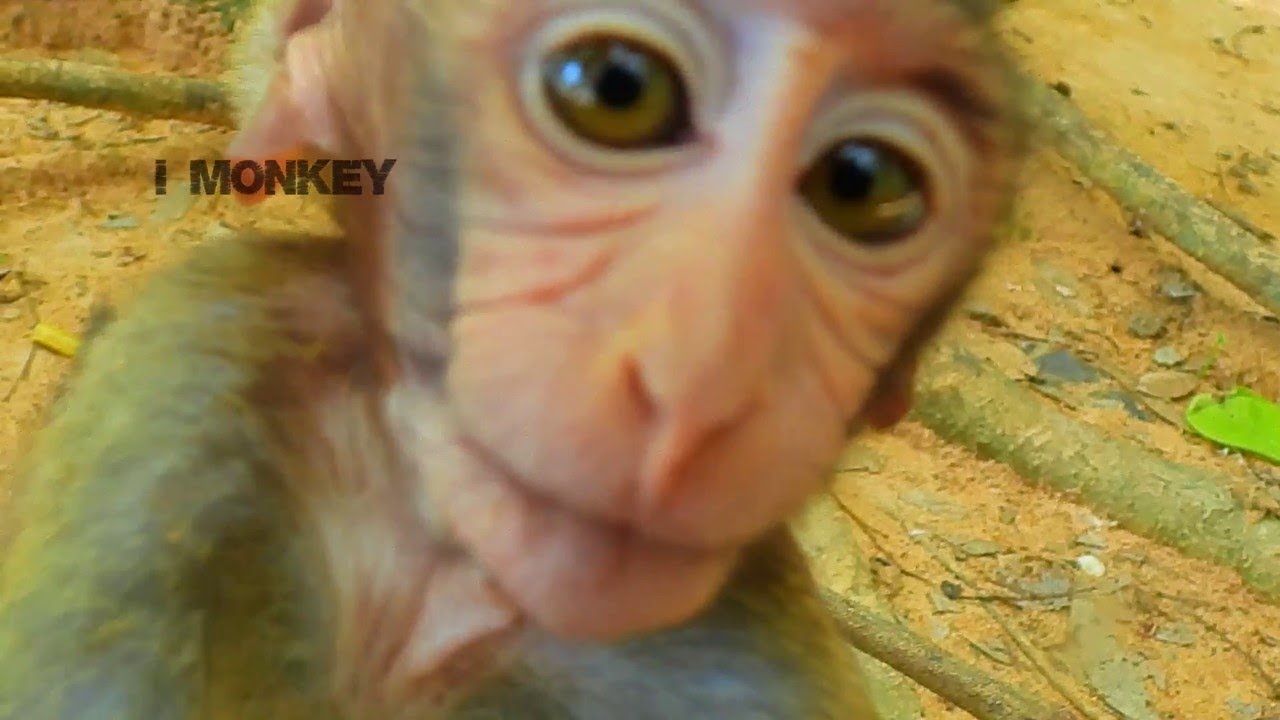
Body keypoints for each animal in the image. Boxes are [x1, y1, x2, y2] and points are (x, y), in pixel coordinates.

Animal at [0, 0, 1024, 718]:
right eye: (616, 88)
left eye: (863, 184)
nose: (702, 380)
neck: (449, 573)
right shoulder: (190, 387)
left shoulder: (746, 641)